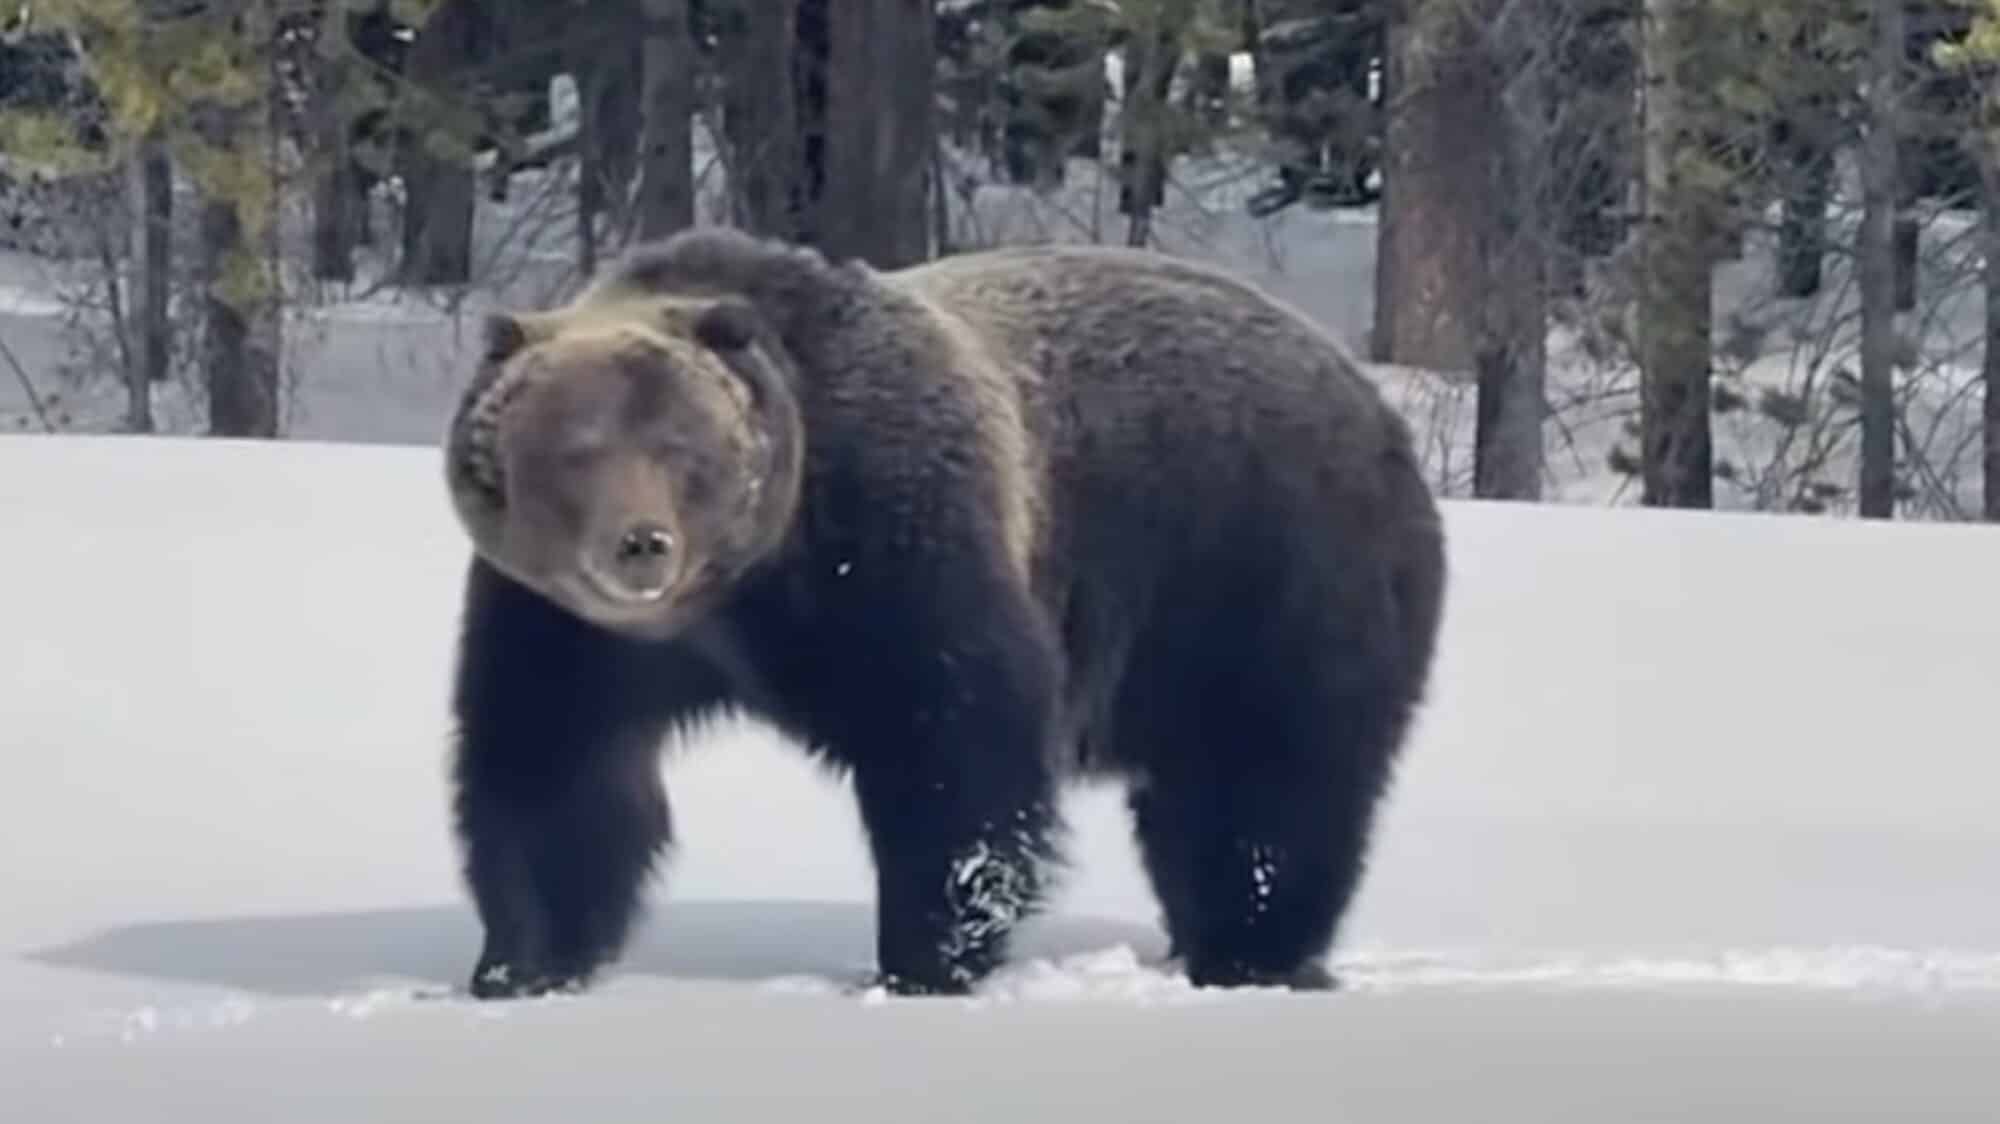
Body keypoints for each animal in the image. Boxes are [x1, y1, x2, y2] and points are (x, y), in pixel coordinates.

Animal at [439, 226, 1447, 1001]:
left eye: (684, 448)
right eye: (577, 449)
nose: (641, 544)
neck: (738, 593)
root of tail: (1369, 393)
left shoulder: (892, 545)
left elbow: (955, 748)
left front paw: (924, 960)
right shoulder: (563, 625)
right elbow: (550, 769)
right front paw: (517, 963)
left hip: (1266, 570)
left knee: (1269, 786)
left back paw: (1252, 952)